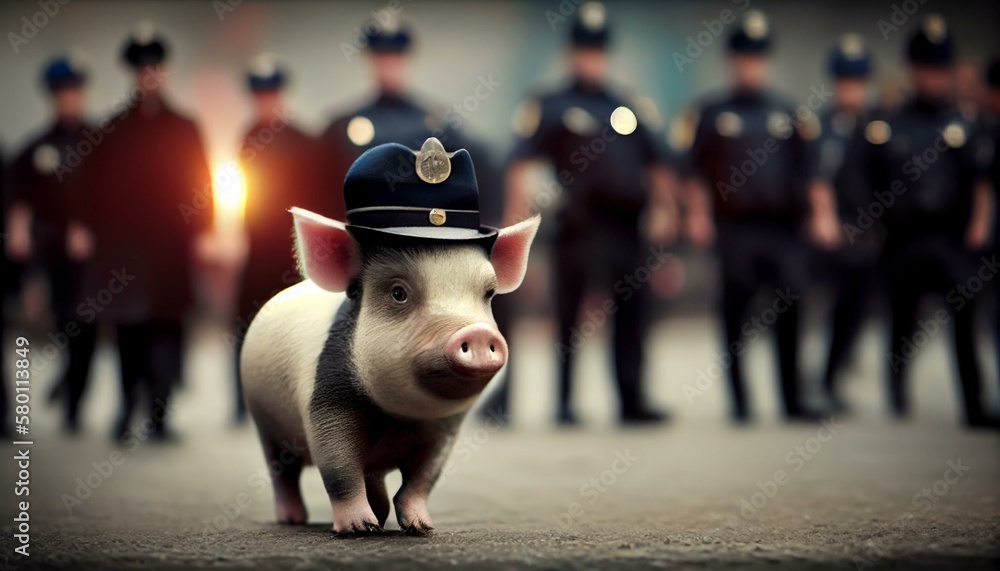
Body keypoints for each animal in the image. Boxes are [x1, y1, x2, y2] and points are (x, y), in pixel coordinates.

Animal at [240, 206, 539, 535]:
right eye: (398, 293)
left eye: (488, 294)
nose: (478, 332)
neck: (397, 417)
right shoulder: (327, 403)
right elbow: (339, 469)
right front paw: (359, 529)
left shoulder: (442, 430)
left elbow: (422, 480)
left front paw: (421, 527)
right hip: (264, 421)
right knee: (282, 474)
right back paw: (293, 519)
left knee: (371, 477)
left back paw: (381, 519)